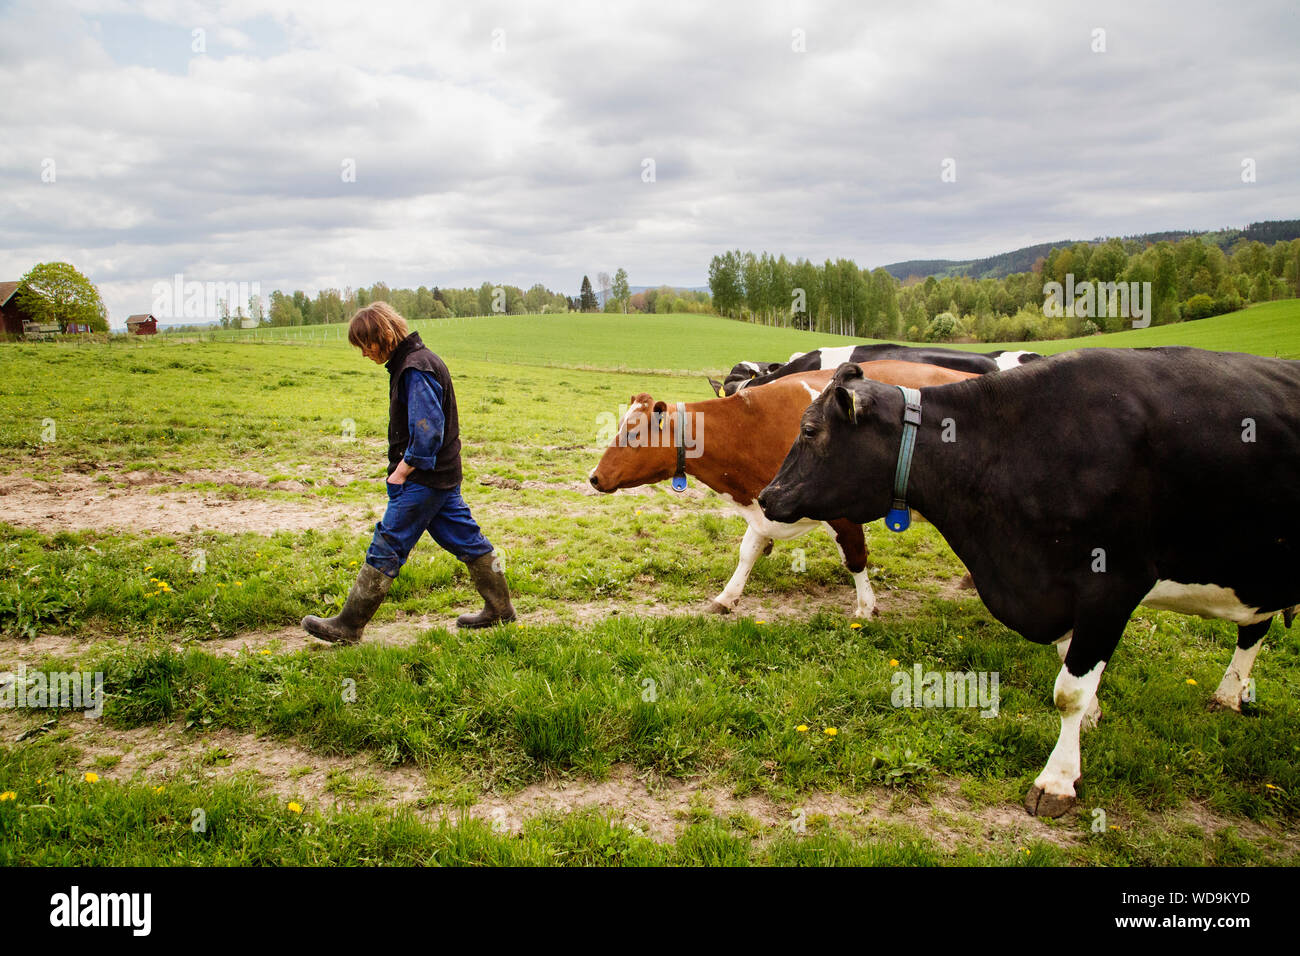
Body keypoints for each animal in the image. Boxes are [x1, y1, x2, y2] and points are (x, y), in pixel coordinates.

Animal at [589, 361, 978, 617]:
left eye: (634, 434)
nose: (593, 476)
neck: (750, 425)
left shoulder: (839, 509)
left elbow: (855, 556)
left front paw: (866, 609)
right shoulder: (763, 503)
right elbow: (747, 552)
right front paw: (725, 598)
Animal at [757, 347, 1300, 817]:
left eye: (810, 429)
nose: (766, 496)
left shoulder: (1113, 584)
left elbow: (1069, 691)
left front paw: (1057, 781)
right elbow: (1072, 666)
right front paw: (1093, 719)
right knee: (1255, 627)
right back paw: (1228, 696)